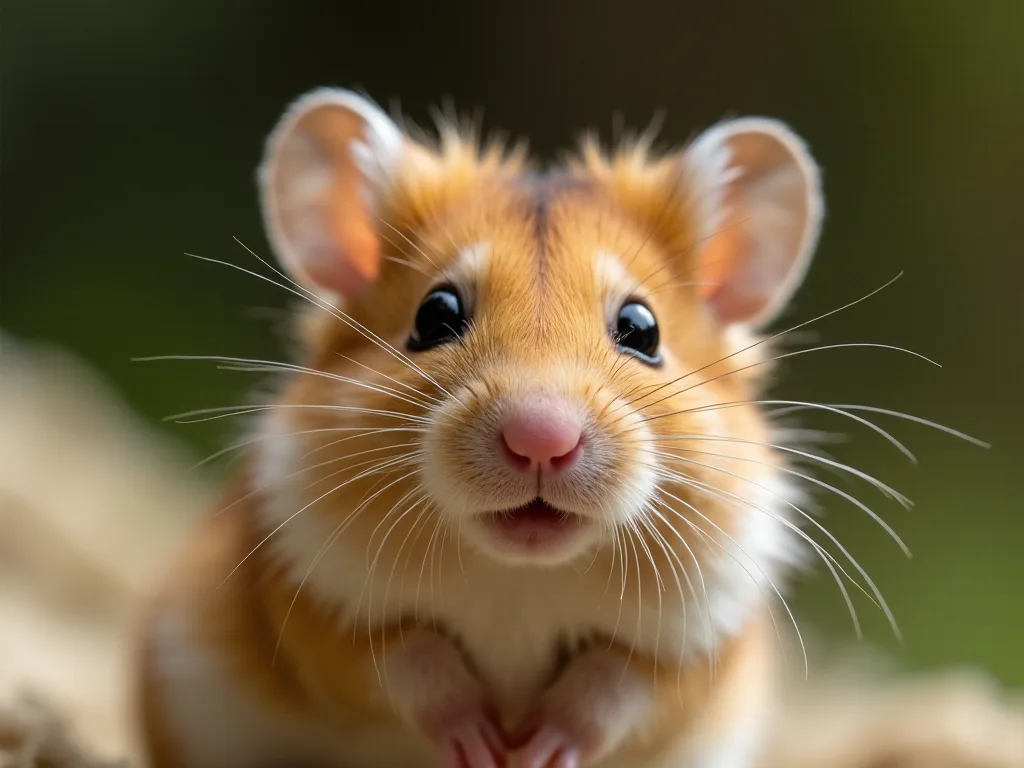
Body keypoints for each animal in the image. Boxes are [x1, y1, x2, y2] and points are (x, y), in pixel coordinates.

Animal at [135, 87, 826, 768]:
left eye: (642, 329)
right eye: (435, 315)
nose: (541, 439)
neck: (521, 575)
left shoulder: (702, 644)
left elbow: (612, 689)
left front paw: (533, 753)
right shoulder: (312, 601)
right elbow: (410, 663)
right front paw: (485, 747)